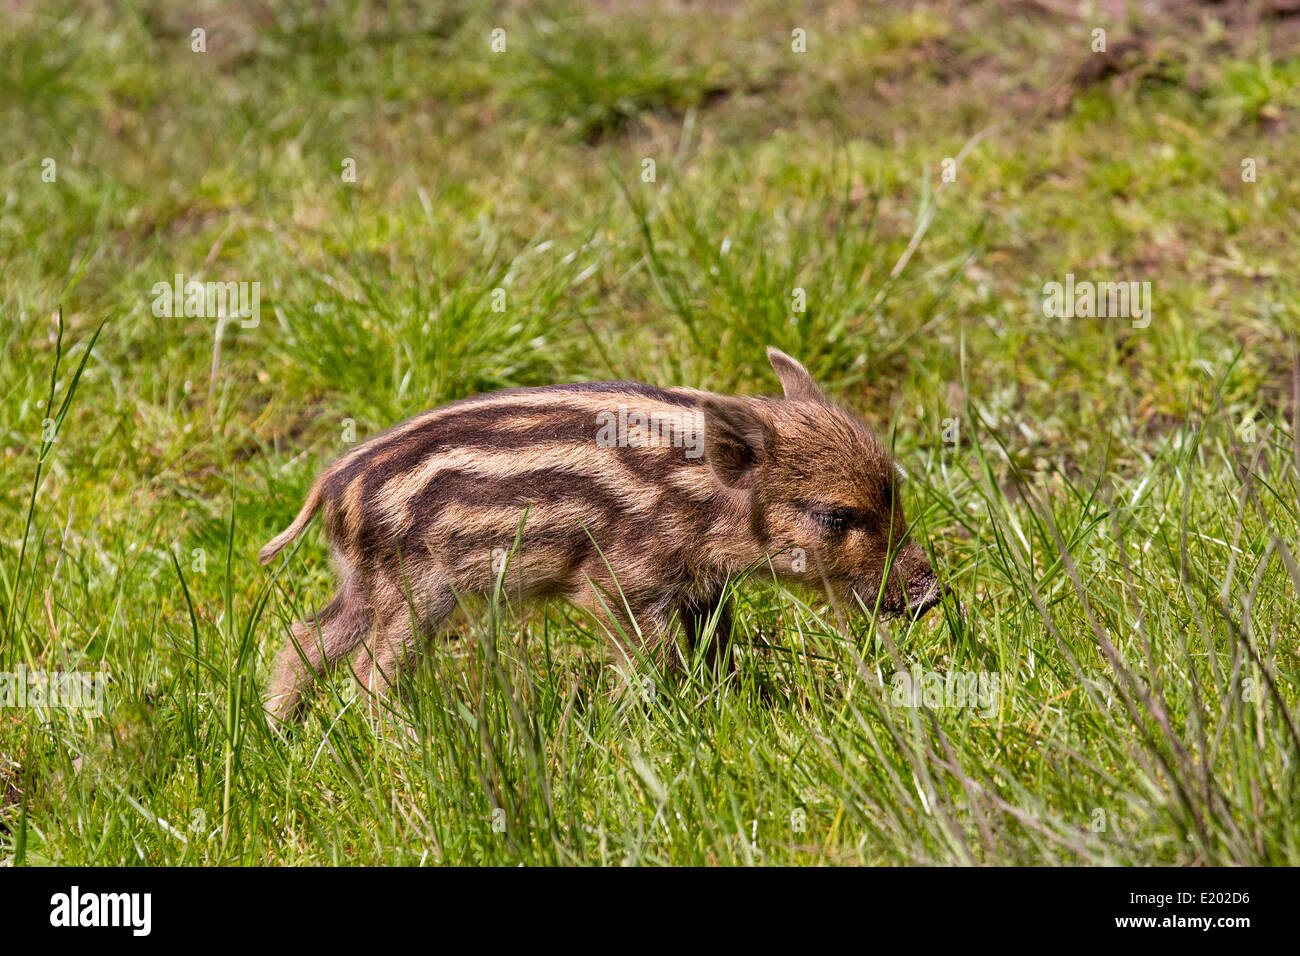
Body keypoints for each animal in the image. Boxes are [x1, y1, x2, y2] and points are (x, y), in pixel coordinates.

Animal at [259, 348, 947, 718]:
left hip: (365, 586)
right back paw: (404, 743)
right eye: (835, 518)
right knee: (371, 672)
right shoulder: (617, 583)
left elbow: (714, 648)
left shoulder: (699, 587)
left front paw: (733, 705)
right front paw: (647, 722)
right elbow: (651, 660)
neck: (702, 500)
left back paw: (277, 730)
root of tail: (332, 484)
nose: (931, 594)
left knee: (304, 639)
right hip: (415, 590)